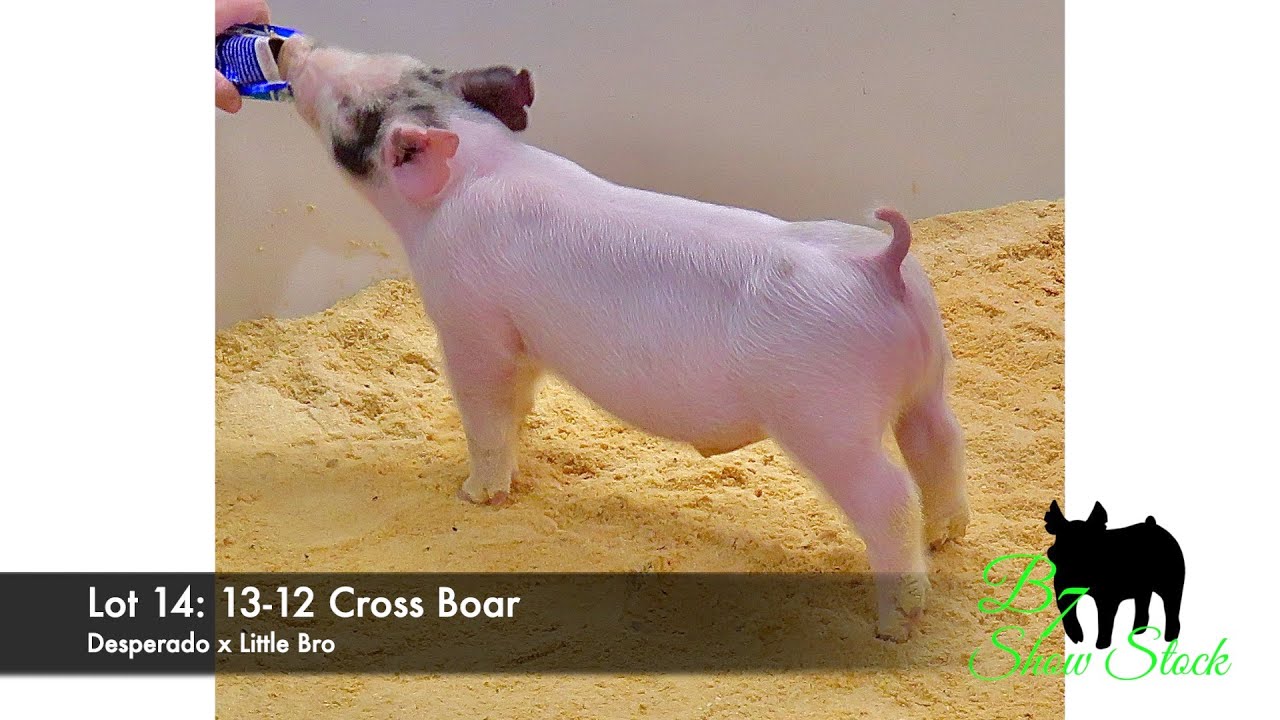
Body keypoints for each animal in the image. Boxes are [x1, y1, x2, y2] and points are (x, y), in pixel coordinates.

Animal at [276, 38, 968, 641]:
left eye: (350, 111)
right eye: (400, 62)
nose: (287, 45)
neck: (475, 167)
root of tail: (878, 267)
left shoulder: (472, 323)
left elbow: (486, 413)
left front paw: (474, 496)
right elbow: (520, 400)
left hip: (827, 417)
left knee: (891, 497)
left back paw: (894, 625)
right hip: (928, 379)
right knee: (941, 446)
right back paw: (948, 537)